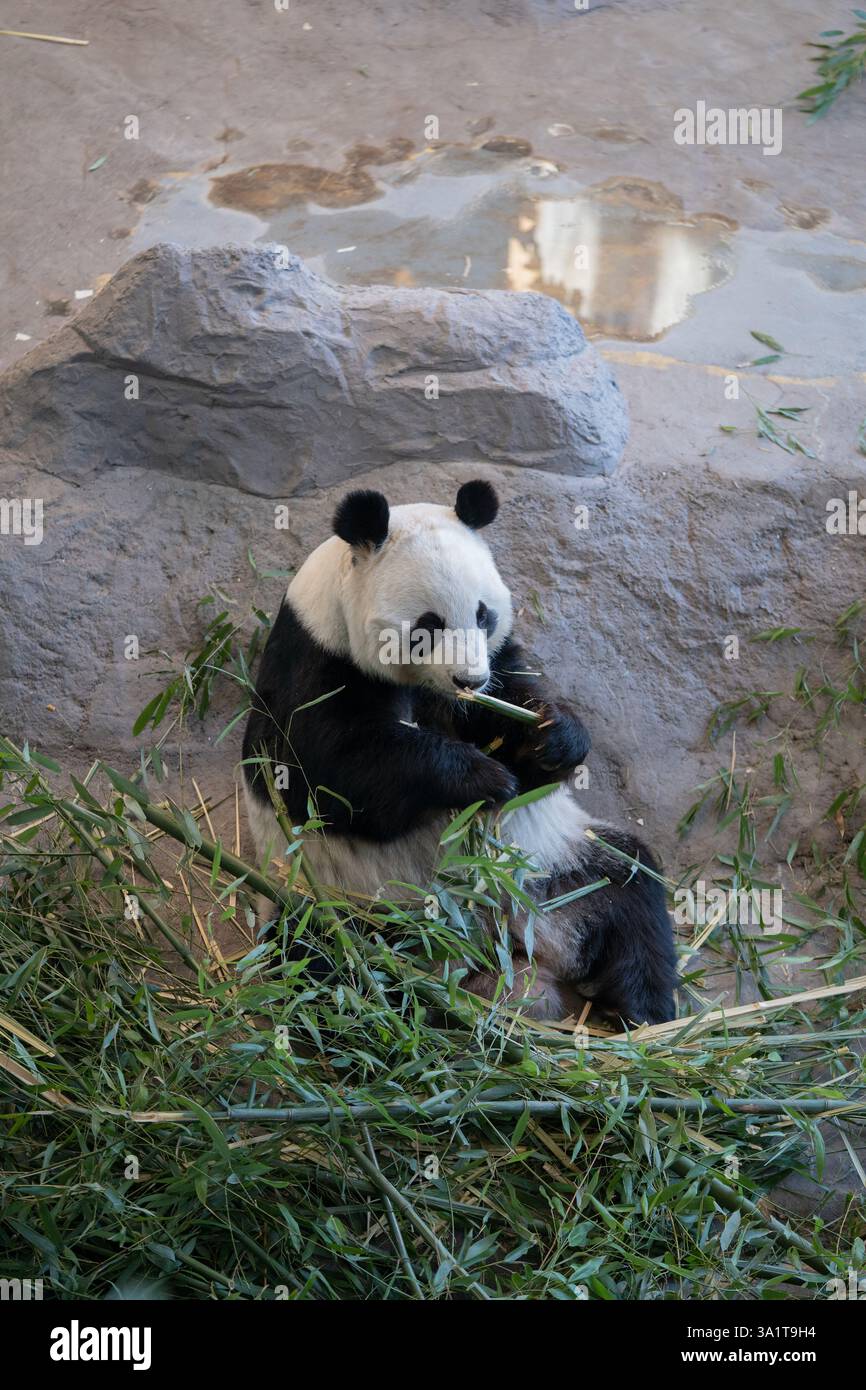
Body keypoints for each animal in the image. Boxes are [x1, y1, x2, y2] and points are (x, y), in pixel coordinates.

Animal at [242, 479, 677, 1024]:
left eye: (482, 614)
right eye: (428, 624)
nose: (469, 679)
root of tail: (501, 945)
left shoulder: (494, 669)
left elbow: (516, 707)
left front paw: (553, 739)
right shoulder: (313, 661)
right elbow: (329, 775)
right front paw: (480, 777)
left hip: (551, 870)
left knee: (628, 888)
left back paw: (644, 1013)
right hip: (340, 900)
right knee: (321, 962)